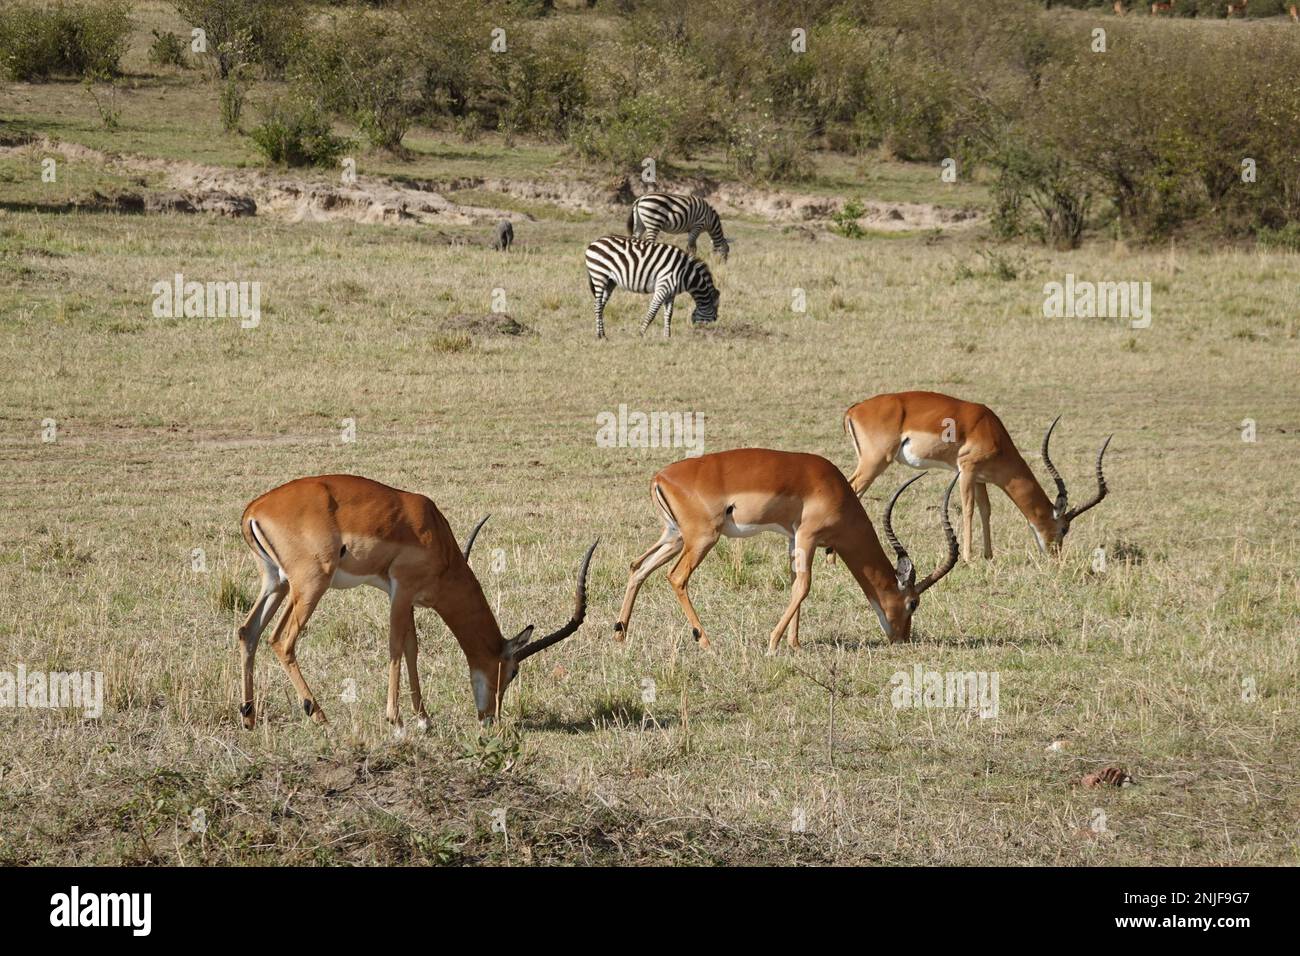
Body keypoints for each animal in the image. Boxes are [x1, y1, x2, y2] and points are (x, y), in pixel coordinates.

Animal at [236, 474, 598, 729]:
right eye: (513, 672)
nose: (490, 718)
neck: (433, 533)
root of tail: (254, 509)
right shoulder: (401, 591)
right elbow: (396, 647)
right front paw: (396, 721)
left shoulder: (405, 597)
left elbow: (412, 649)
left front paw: (424, 719)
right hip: (310, 585)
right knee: (281, 640)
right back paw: (320, 717)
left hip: (277, 583)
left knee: (248, 631)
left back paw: (249, 717)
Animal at [585, 236, 720, 339]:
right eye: (714, 316)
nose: (700, 331)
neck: (686, 274)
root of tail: (593, 243)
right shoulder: (663, 286)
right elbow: (652, 312)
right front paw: (641, 333)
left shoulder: (671, 293)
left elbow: (669, 314)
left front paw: (667, 336)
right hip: (599, 275)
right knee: (597, 306)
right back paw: (599, 335)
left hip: (610, 281)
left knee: (601, 305)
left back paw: (603, 334)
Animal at [614, 448, 958, 653]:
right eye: (913, 602)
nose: (902, 638)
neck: (834, 489)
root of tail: (660, 477)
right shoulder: (808, 536)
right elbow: (804, 586)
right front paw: (773, 642)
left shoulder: (795, 540)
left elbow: (795, 583)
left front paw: (794, 643)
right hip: (701, 540)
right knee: (676, 578)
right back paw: (706, 641)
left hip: (674, 538)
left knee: (637, 566)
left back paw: (620, 633)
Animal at [843, 391, 1111, 561]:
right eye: (1064, 528)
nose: (1056, 556)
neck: (991, 430)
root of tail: (854, 408)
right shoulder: (966, 470)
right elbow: (969, 509)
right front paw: (968, 558)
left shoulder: (981, 478)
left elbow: (986, 510)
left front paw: (988, 556)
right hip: (875, 462)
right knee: (852, 489)